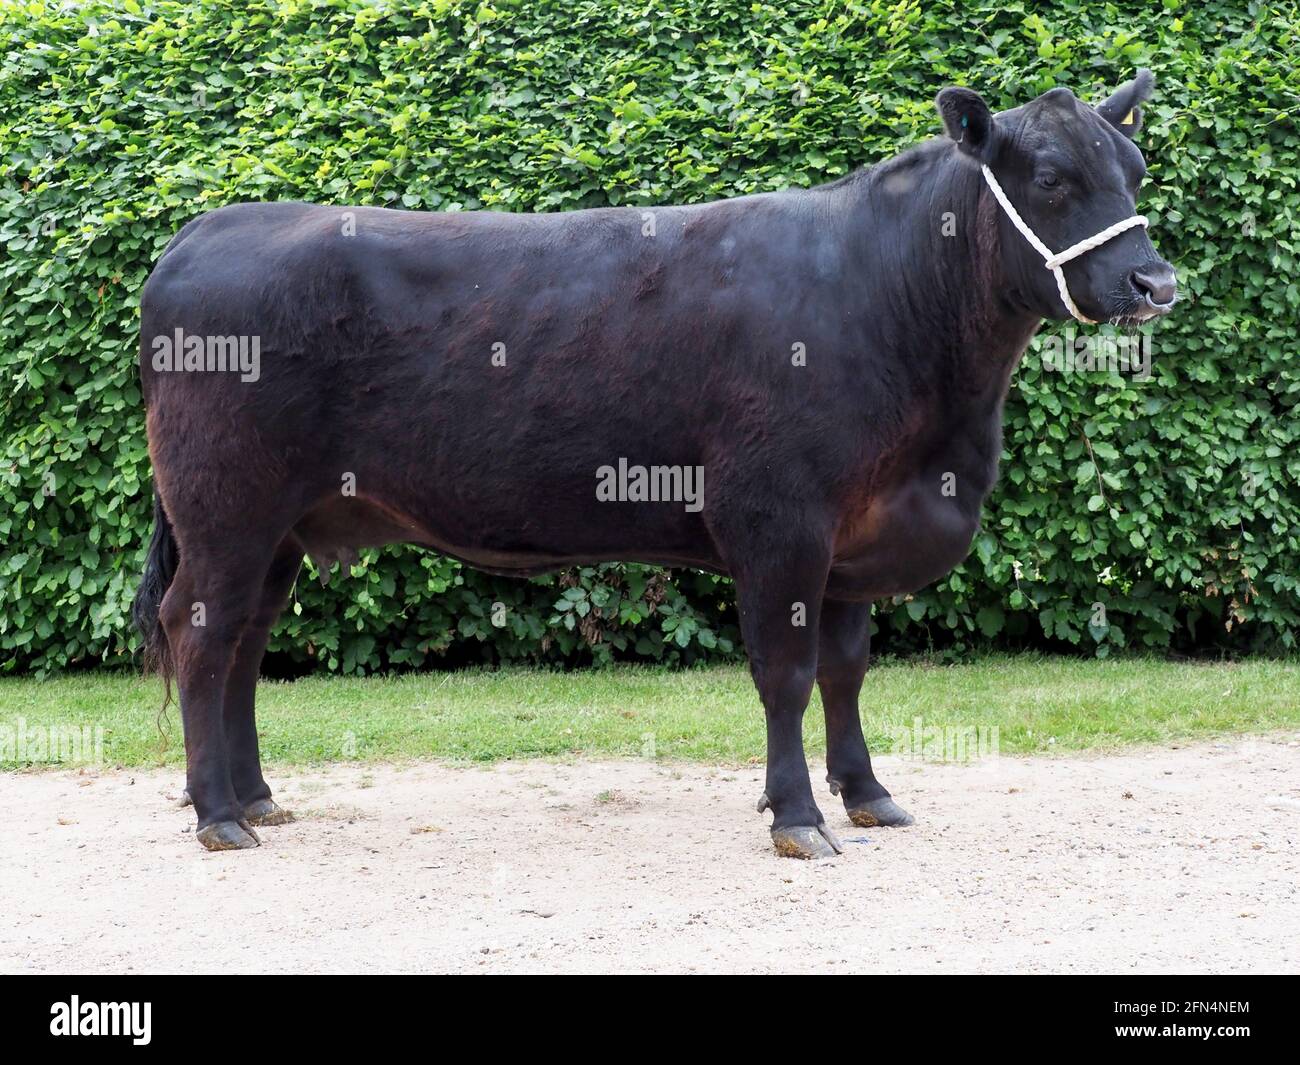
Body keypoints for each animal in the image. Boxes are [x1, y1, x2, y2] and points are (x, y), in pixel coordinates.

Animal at [133, 72, 1176, 858]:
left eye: (1134, 168)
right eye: (1050, 178)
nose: (1155, 281)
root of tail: (206, 229)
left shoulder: (852, 536)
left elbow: (846, 671)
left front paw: (868, 792)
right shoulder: (780, 519)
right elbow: (788, 672)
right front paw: (798, 817)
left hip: (276, 528)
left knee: (243, 645)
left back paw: (256, 796)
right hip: (225, 510)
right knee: (200, 633)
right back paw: (218, 814)